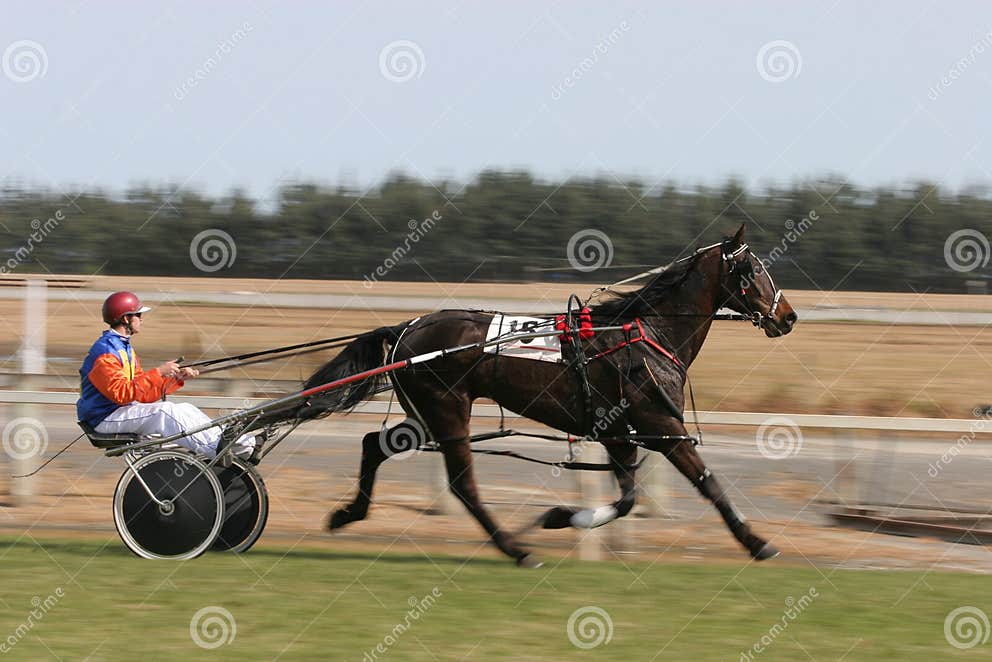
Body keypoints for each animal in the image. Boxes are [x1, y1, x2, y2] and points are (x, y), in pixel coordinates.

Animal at [266, 225, 797, 566]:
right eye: (752, 269)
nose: (787, 316)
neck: (642, 334)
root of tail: (408, 328)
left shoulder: (618, 432)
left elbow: (628, 497)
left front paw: (563, 517)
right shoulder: (658, 424)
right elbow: (707, 483)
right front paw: (757, 542)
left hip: (424, 413)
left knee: (375, 445)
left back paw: (347, 514)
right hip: (447, 409)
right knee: (463, 484)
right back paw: (514, 550)